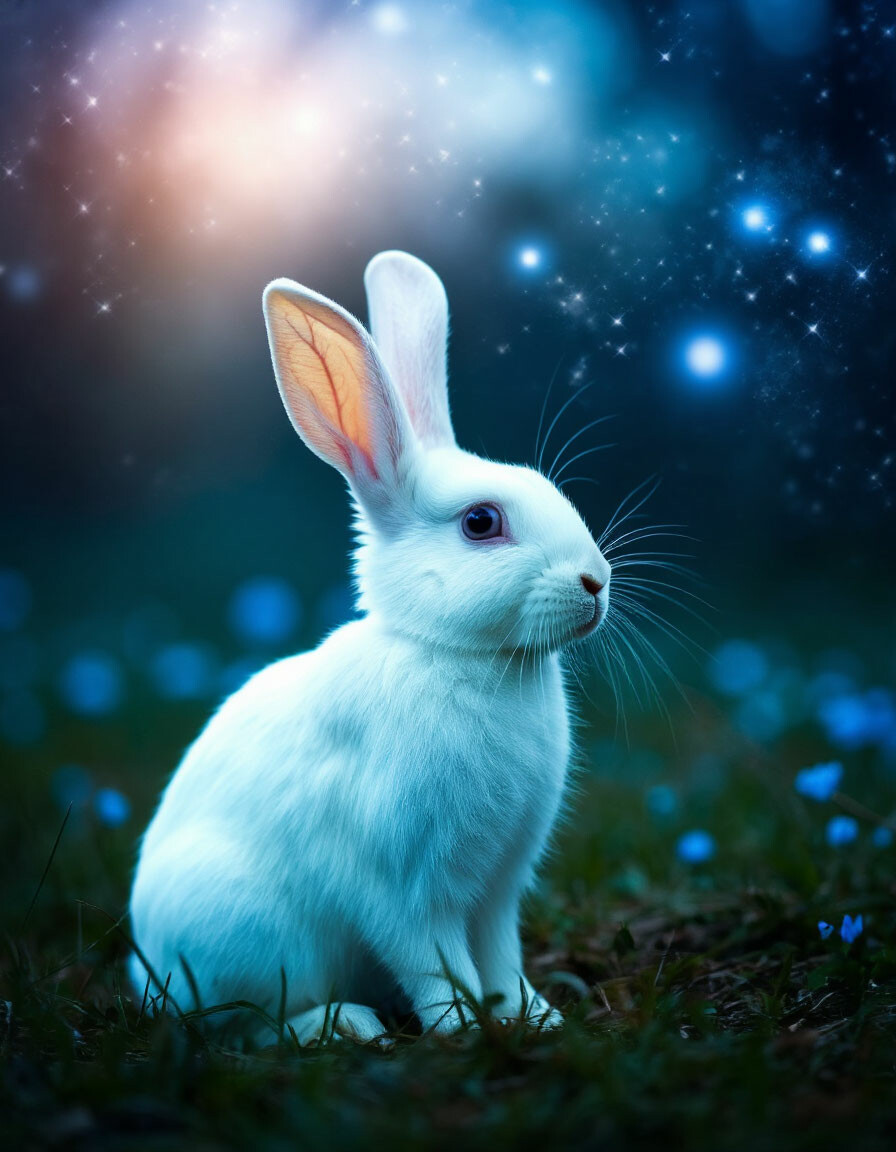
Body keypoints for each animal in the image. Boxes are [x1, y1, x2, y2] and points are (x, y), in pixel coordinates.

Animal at [128, 250, 611, 1045]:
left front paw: (534, 1017)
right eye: (481, 523)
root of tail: (147, 969)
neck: (449, 653)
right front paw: (460, 1027)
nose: (596, 581)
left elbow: (500, 958)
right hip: (249, 935)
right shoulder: (401, 881)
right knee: (246, 1024)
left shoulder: (499, 887)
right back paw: (346, 1025)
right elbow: (433, 959)